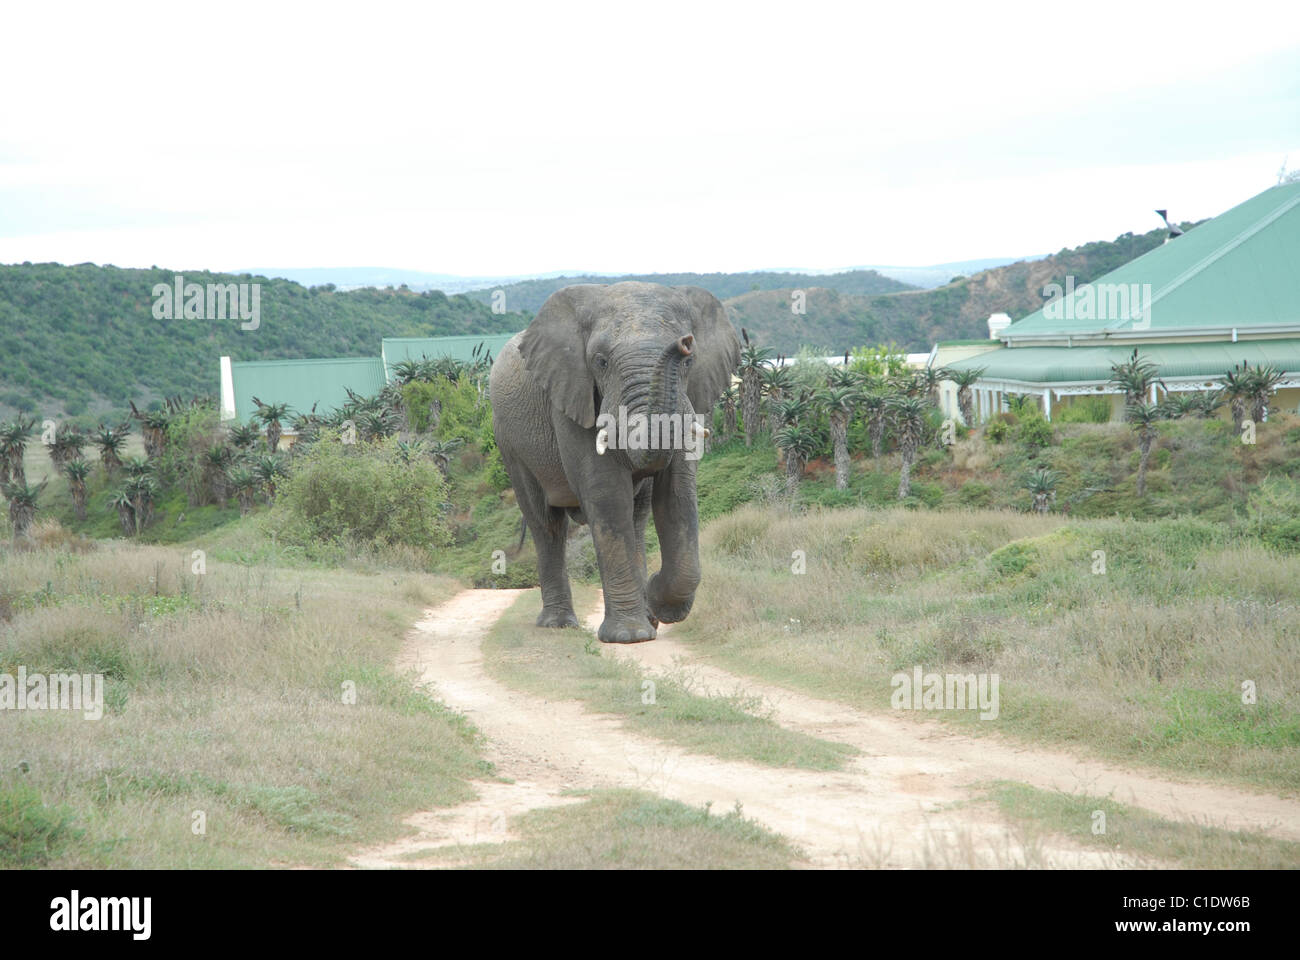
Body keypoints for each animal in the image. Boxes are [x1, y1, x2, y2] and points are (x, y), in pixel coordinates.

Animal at [490, 282, 741, 643]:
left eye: (690, 361)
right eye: (601, 362)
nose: (684, 343)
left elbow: (677, 493)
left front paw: (655, 608)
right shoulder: (571, 398)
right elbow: (607, 494)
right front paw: (629, 637)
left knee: (636, 515)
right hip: (509, 443)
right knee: (547, 524)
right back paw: (558, 625)